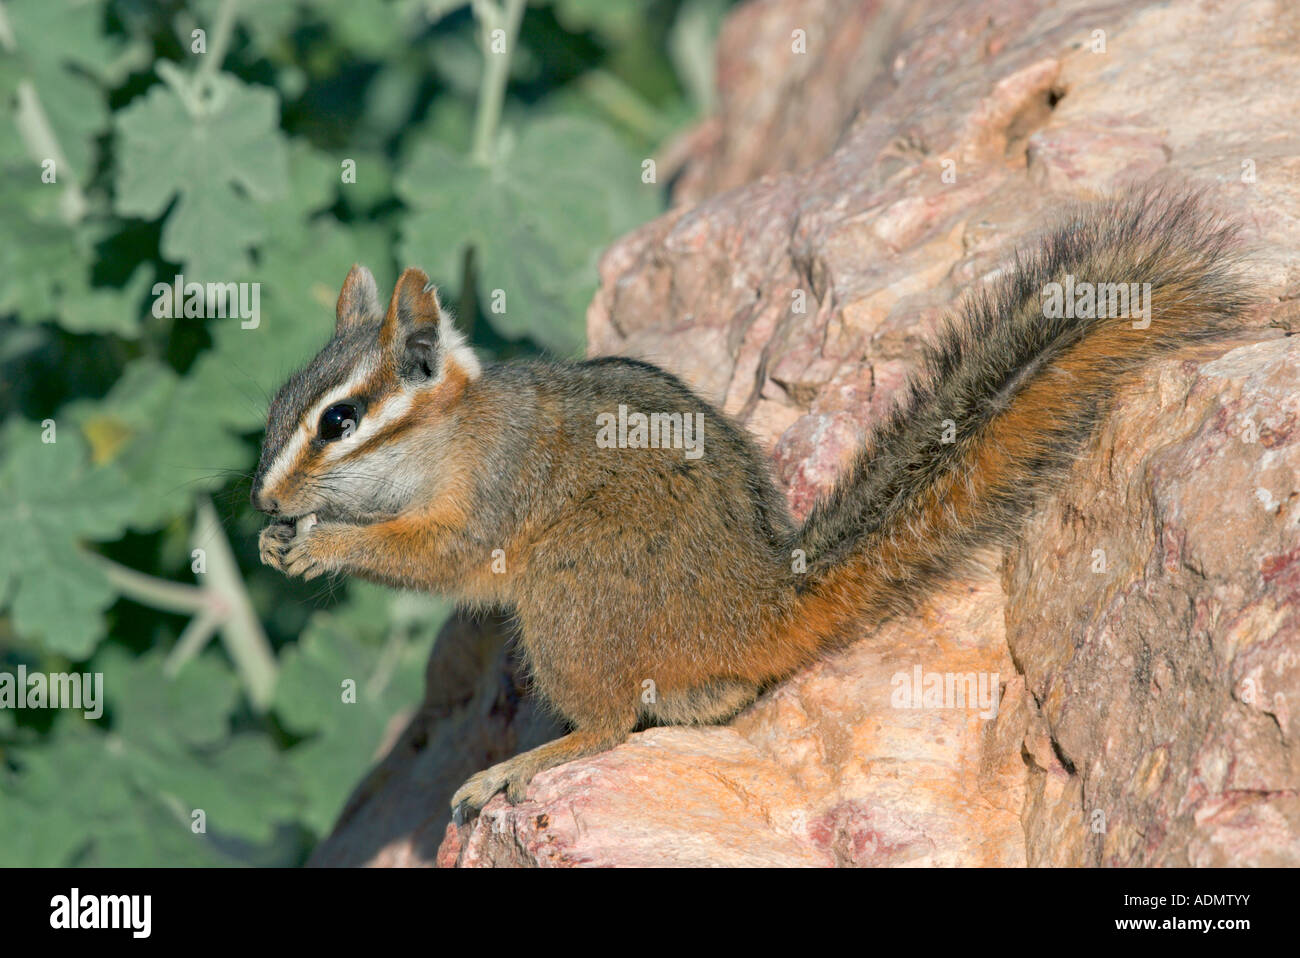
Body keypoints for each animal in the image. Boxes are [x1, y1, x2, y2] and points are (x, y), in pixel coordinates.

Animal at [252, 184, 1250, 814]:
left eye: (339, 419)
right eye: (280, 399)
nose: (261, 498)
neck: (446, 434)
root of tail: (760, 608)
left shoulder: (493, 493)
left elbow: (436, 557)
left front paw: (322, 542)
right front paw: (276, 542)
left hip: (571, 595)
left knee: (612, 723)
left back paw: (524, 763)